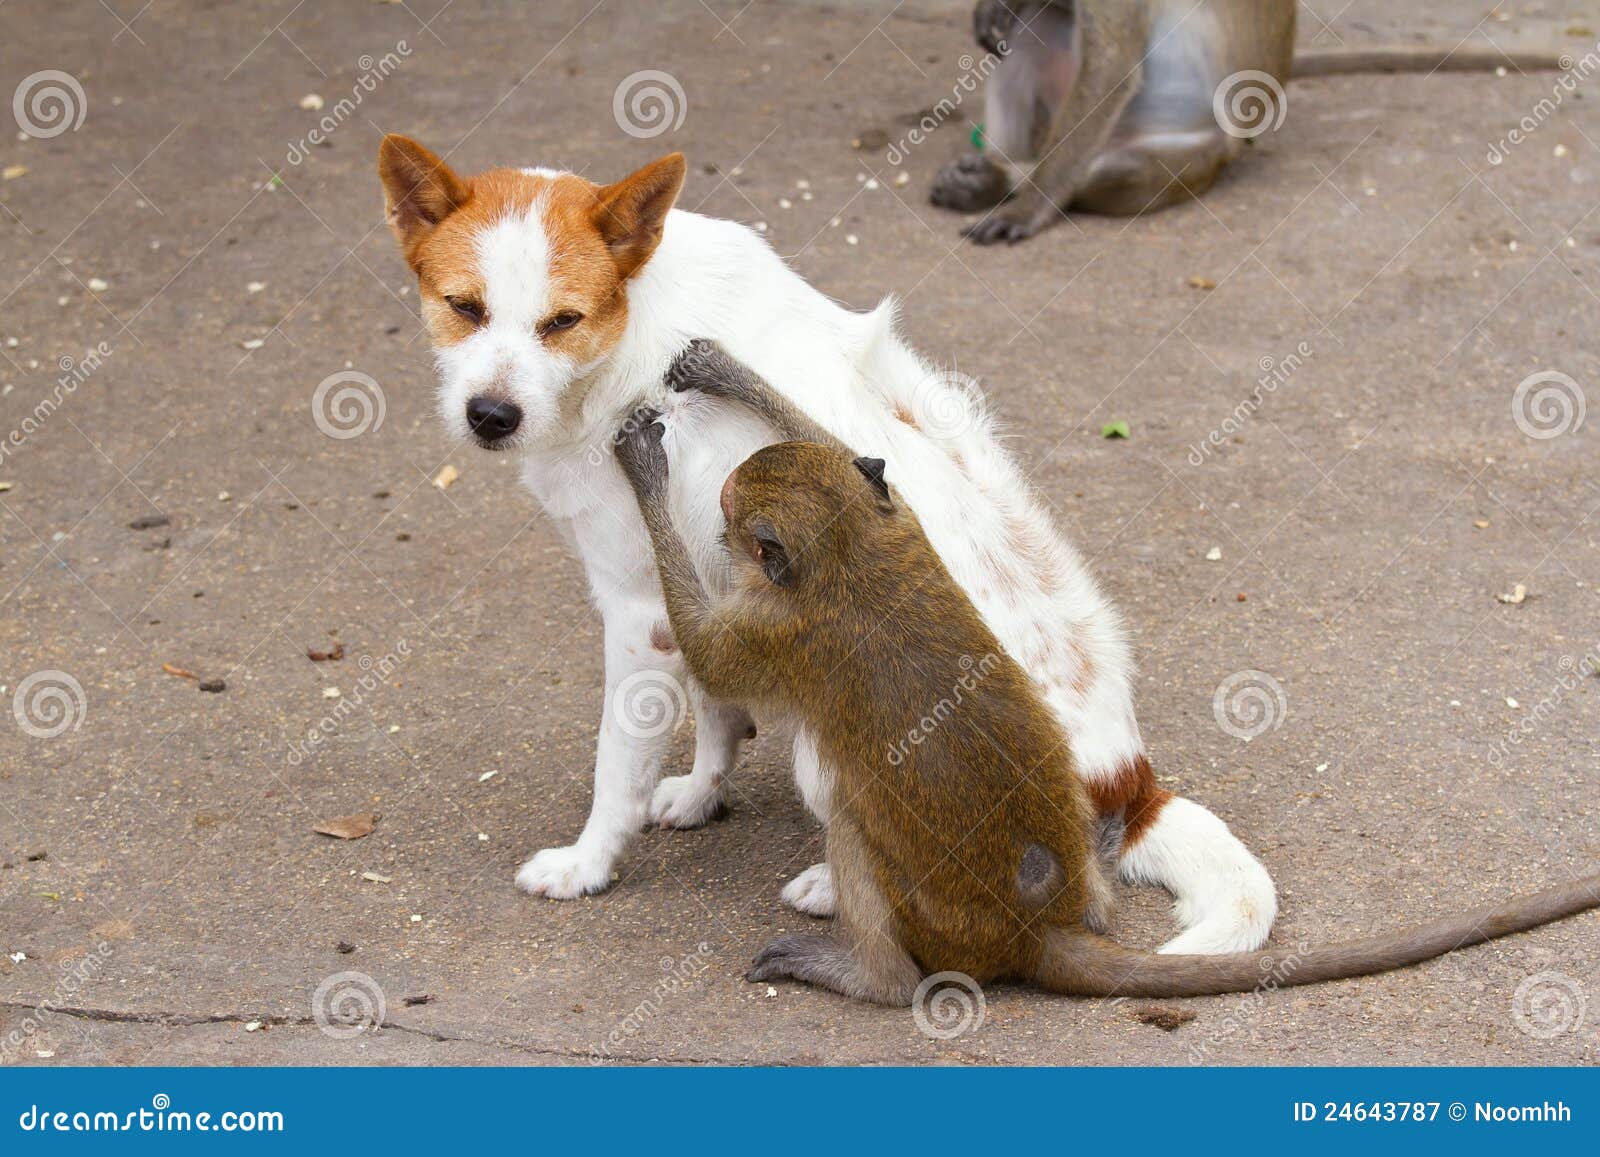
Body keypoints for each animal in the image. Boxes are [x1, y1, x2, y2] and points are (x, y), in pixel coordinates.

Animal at [610, 339, 1600, 1004]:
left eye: (734, 521)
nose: (724, 531)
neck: (853, 556)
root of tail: (1033, 933)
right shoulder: (893, 517)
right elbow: (833, 440)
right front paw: (724, 370)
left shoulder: (780, 627)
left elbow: (705, 648)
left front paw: (646, 465)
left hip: (939, 919)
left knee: (854, 816)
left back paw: (872, 973)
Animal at [933, 1, 1574, 244]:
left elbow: (1112, 66)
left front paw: (1026, 210)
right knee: (1034, 32)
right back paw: (994, 173)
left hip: (1197, 154)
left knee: (1117, 174)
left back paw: (1018, 182)